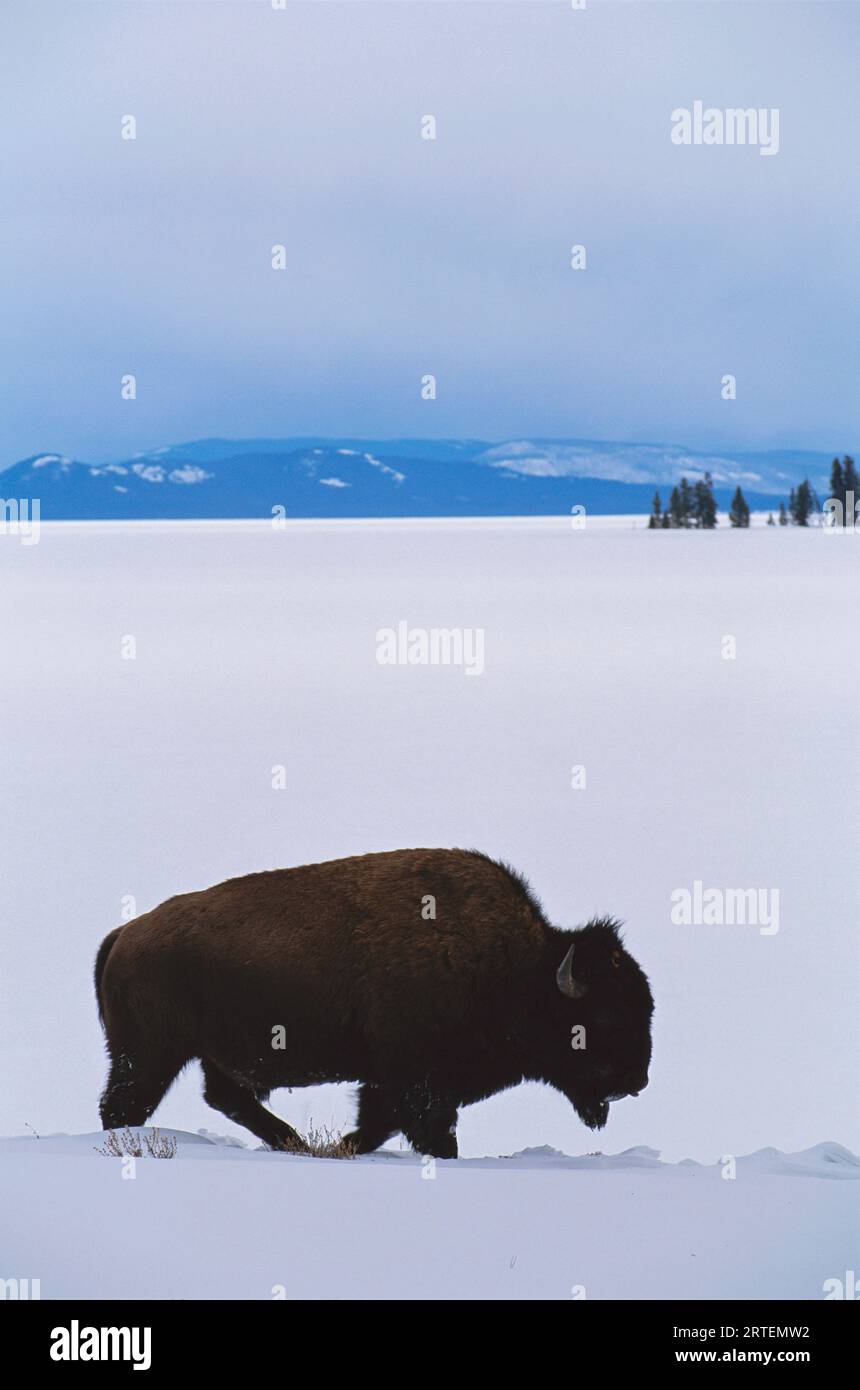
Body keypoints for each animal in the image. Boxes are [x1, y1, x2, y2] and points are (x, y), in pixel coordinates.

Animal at [95, 848, 653, 1156]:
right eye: (605, 1015)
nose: (638, 1080)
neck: (518, 969)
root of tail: (125, 934)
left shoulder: (391, 1084)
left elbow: (378, 1126)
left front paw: (341, 1149)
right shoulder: (417, 1083)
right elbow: (428, 1133)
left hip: (207, 1057)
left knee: (227, 1099)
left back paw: (297, 1144)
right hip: (150, 1054)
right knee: (124, 1105)